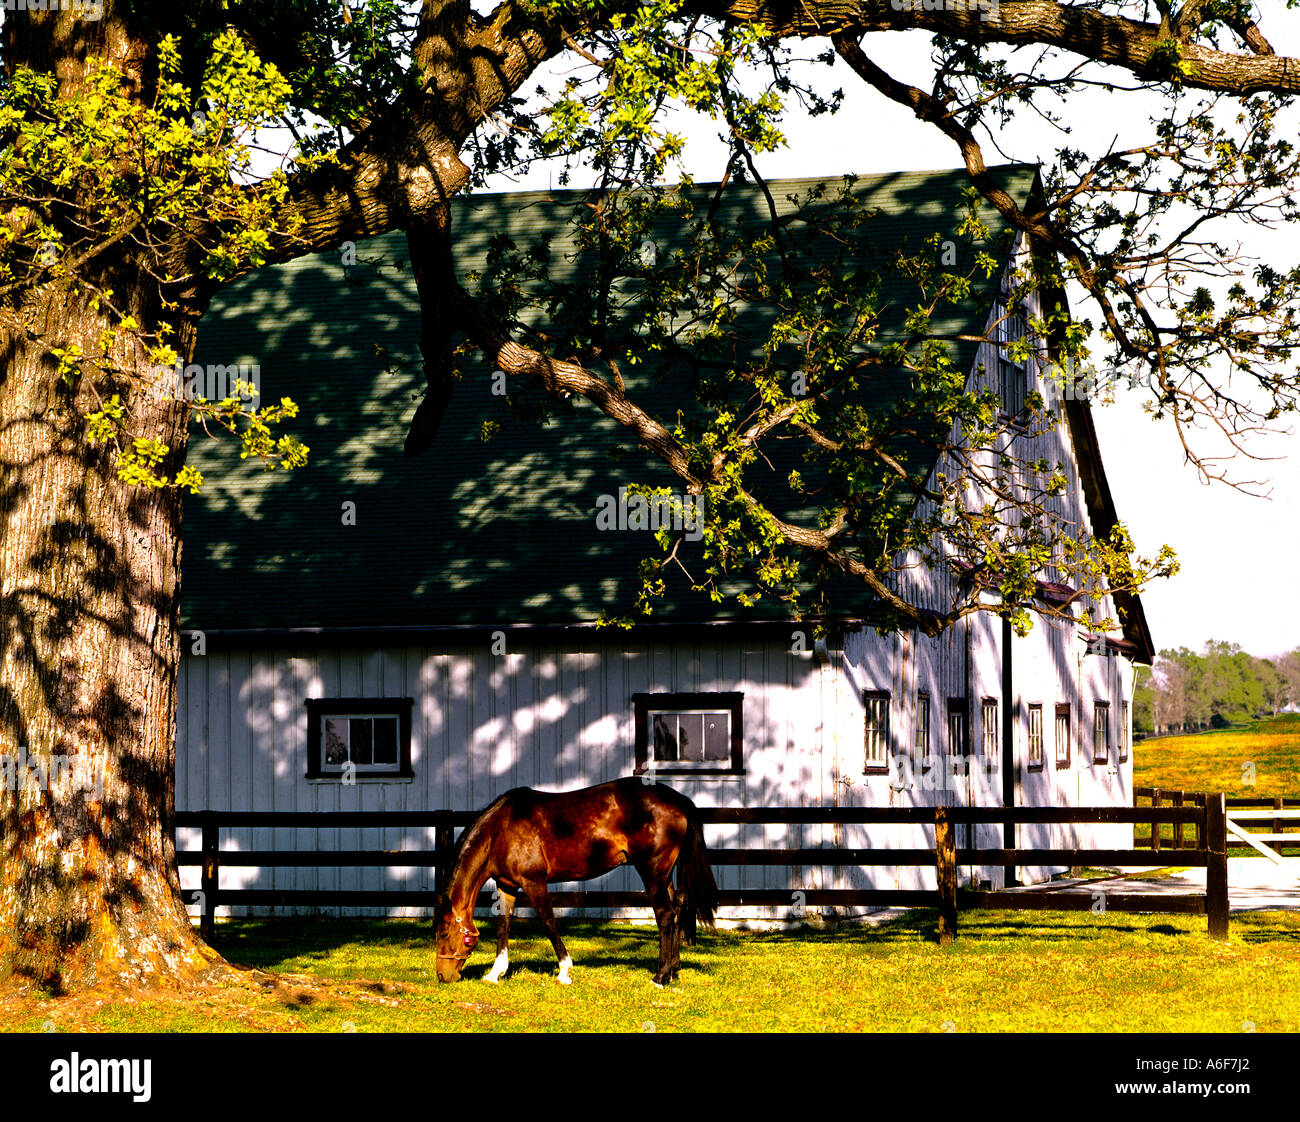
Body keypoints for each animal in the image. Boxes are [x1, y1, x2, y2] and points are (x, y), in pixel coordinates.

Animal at [432, 778, 718, 987]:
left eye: (444, 933)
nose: (443, 976)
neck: (501, 828)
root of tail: (676, 800)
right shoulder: (507, 885)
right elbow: (504, 925)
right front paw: (495, 973)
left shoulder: (533, 882)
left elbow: (548, 923)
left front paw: (564, 971)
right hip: (665, 874)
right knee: (677, 911)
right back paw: (674, 971)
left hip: (652, 872)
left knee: (665, 915)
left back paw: (660, 977)